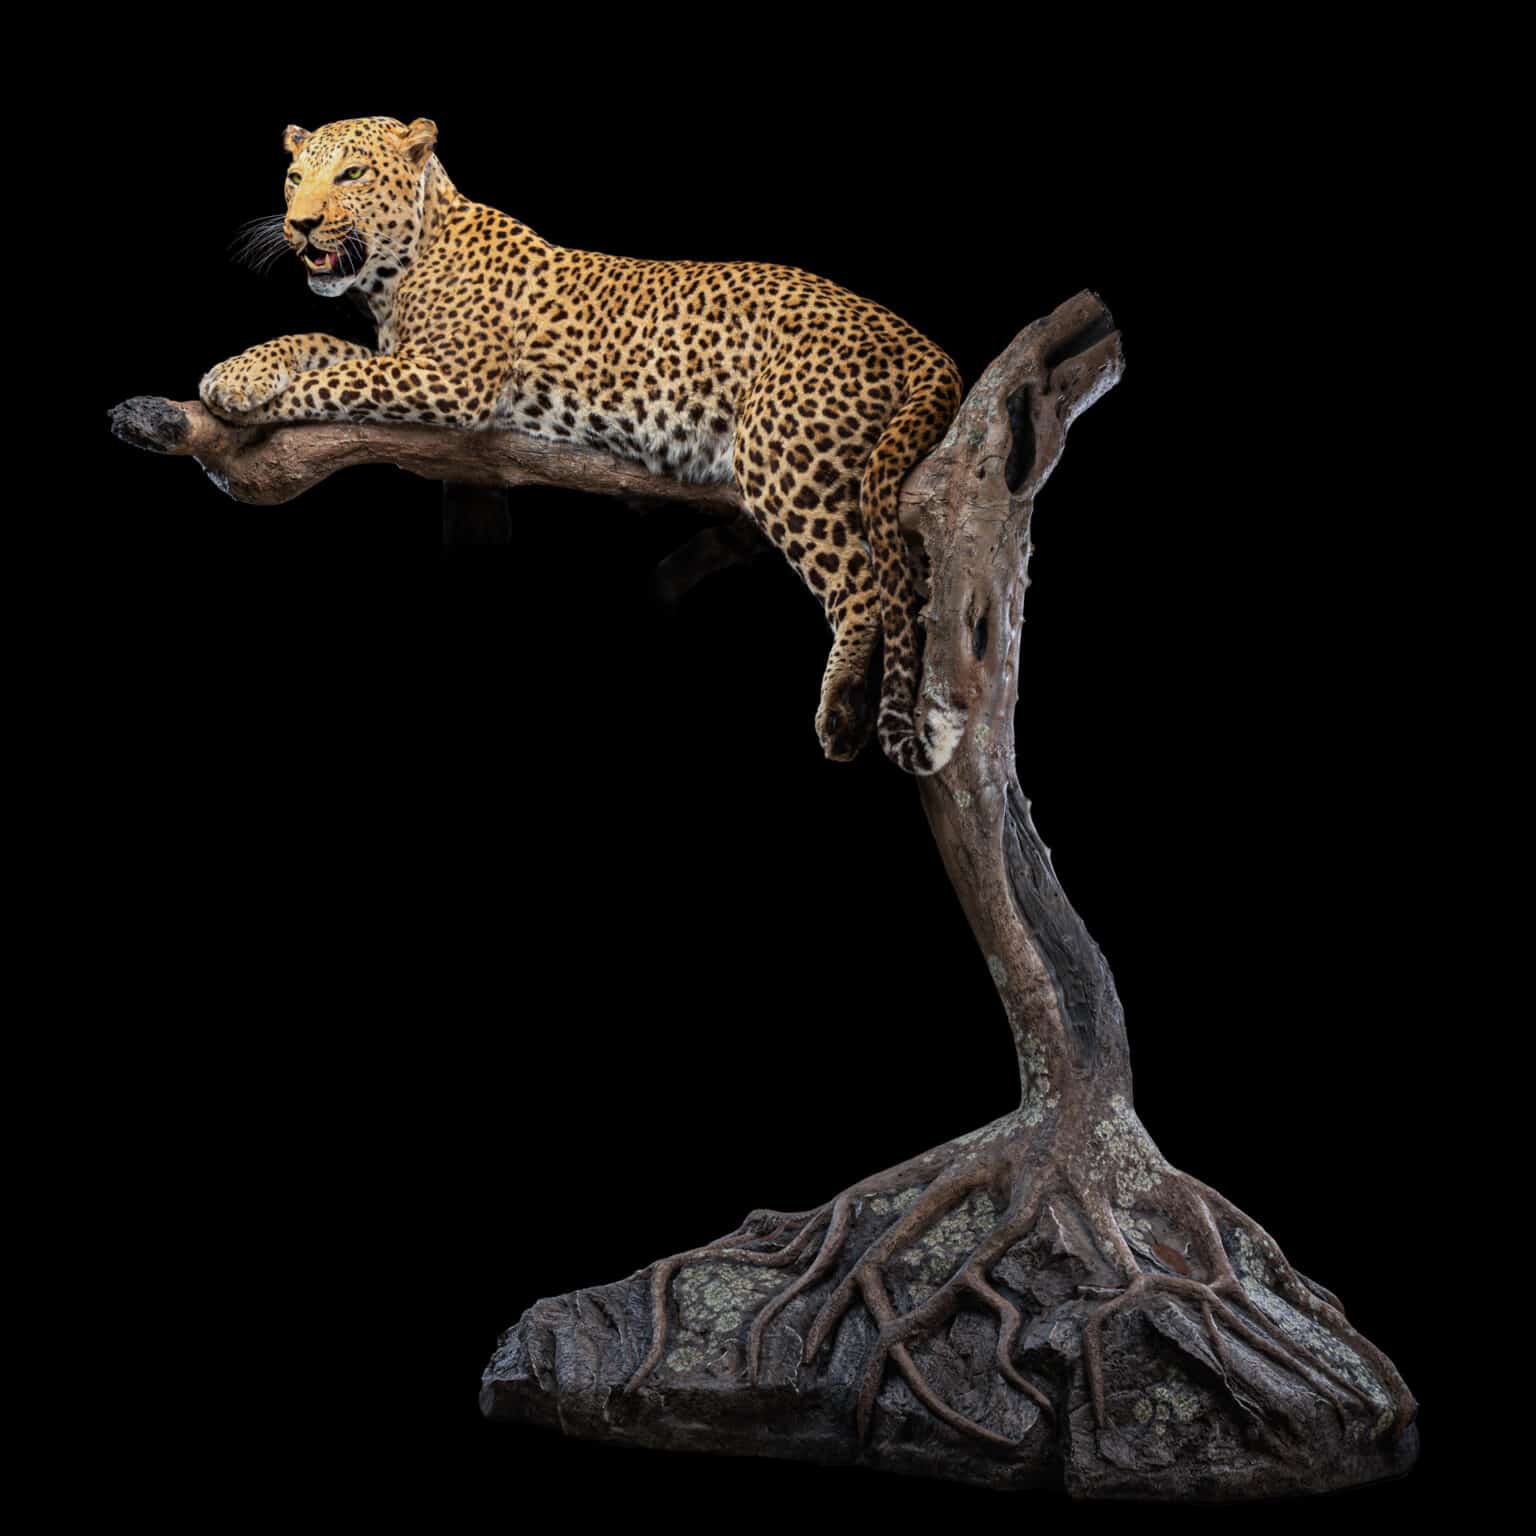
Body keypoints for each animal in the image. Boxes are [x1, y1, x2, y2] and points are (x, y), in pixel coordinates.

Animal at [201, 116, 967, 773]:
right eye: (294, 177)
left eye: (352, 173)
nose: (299, 224)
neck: (398, 272)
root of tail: (919, 341)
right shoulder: (404, 354)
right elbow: (317, 342)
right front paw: (239, 370)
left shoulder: (450, 377)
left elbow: (335, 376)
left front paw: (244, 402)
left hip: (782, 457)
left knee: (861, 584)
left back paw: (840, 710)